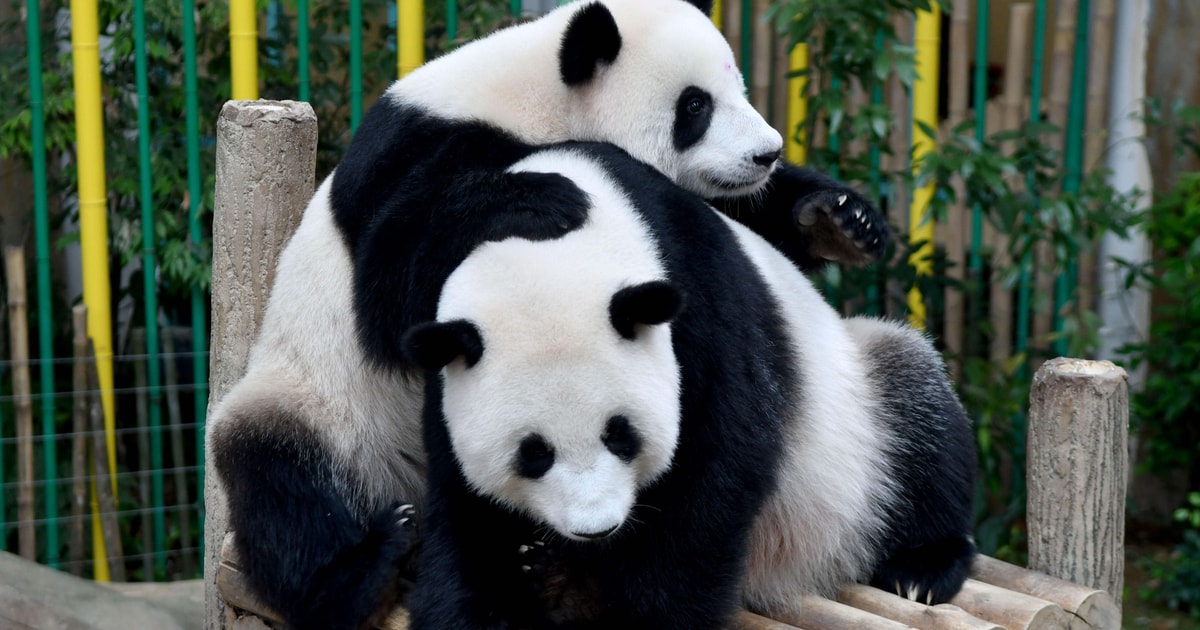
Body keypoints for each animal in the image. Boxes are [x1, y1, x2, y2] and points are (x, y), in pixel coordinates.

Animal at [208, 0, 891, 628]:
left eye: (739, 88)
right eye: (695, 106)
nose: (766, 154)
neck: (536, 95)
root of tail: (401, 486)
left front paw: (839, 219)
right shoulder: (417, 150)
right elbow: (389, 281)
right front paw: (541, 197)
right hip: (320, 405)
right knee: (283, 487)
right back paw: (366, 570)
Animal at [401, 143, 976, 629]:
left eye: (620, 434)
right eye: (533, 453)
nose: (596, 529)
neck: (546, 248)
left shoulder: (699, 304)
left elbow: (712, 475)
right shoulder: (445, 372)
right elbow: (466, 510)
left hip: (859, 426)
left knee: (917, 407)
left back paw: (922, 568)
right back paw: (549, 574)